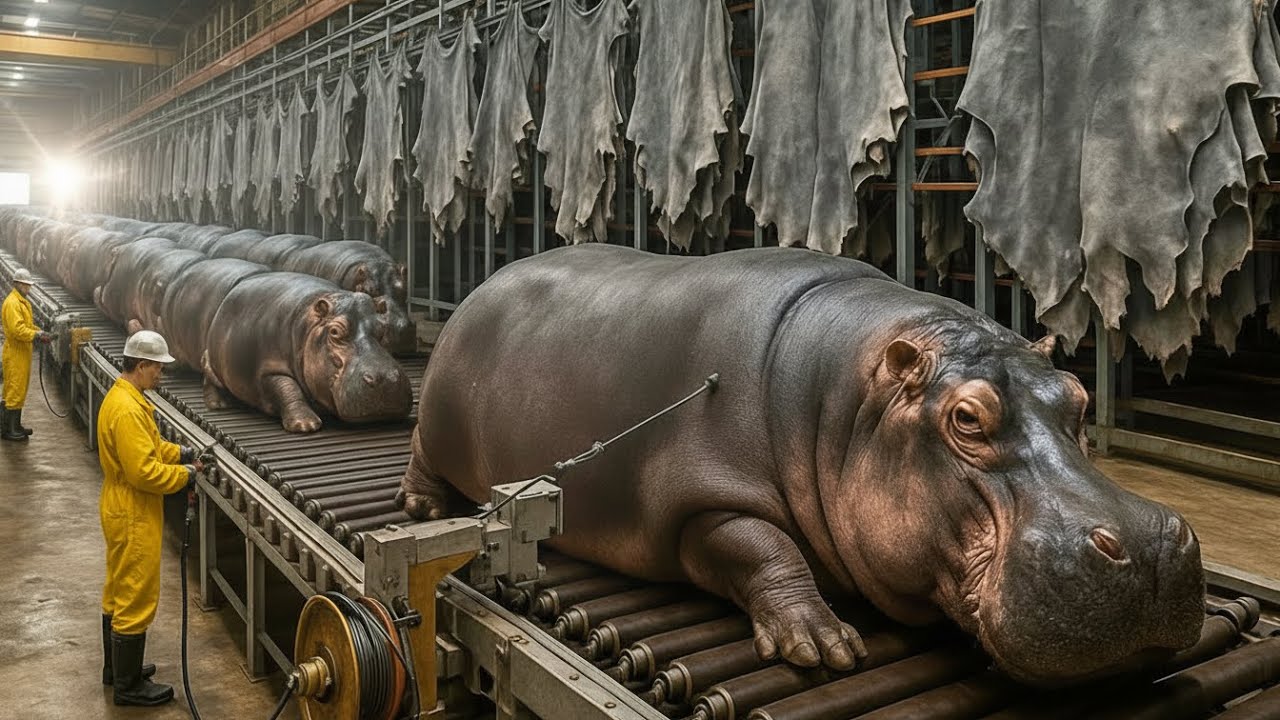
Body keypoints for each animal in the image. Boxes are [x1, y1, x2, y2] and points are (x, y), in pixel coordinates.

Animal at [202, 272, 414, 432]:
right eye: (335, 332)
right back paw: (218, 405)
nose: (387, 378)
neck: (310, 326)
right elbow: (287, 388)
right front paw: (305, 426)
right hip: (211, 361)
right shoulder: (269, 368)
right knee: (209, 380)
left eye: (383, 328)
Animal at [396, 244, 1204, 687]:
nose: (1152, 546)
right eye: (966, 419)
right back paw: (422, 509)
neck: (845, 401)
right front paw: (824, 647)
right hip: (435, 415)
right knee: (419, 455)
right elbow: (760, 546)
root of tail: (487, 281)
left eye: (1078, 397)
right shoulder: (703, 495)